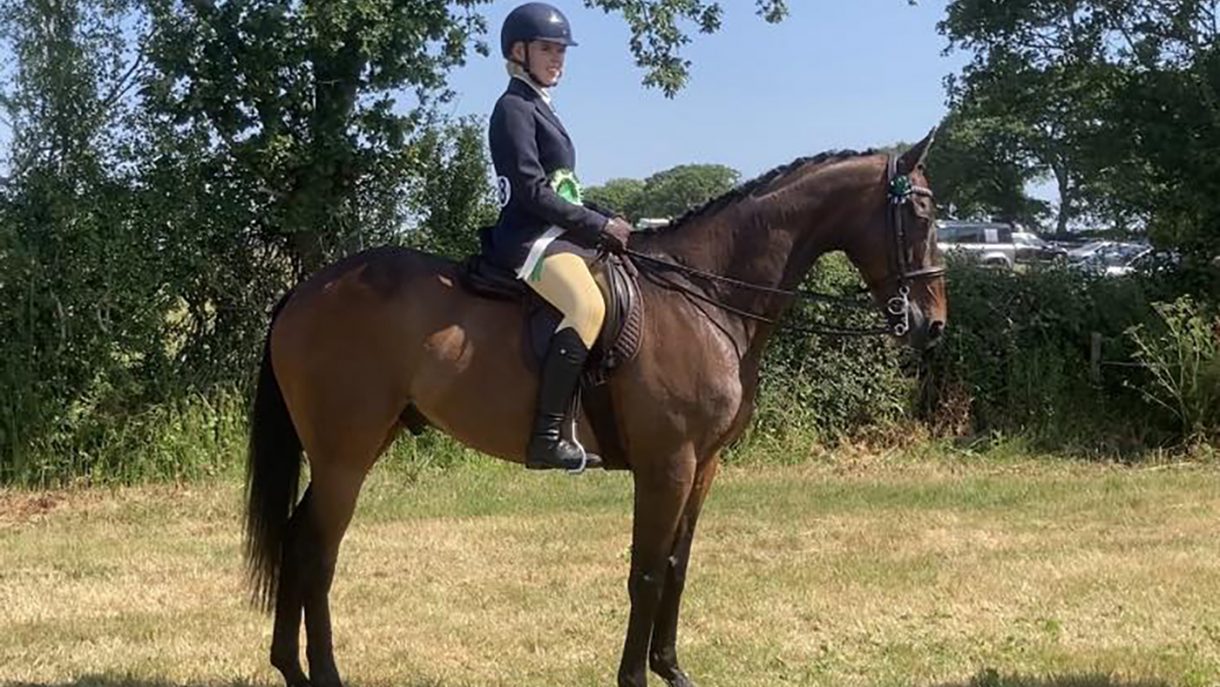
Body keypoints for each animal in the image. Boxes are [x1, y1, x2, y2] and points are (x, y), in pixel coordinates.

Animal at [243, 131, 947, 687]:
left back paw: (290, 668)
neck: (706, 298)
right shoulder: (667, 464)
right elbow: (645, 573)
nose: (932, 325)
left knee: (295, 539)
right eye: (919, 213)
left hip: (359, 444)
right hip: (346, 454)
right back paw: (322, 674)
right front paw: (635, 678)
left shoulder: (704, 466)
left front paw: (672, 671)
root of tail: (303, 293)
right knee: (316, 552)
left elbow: (676, 567)